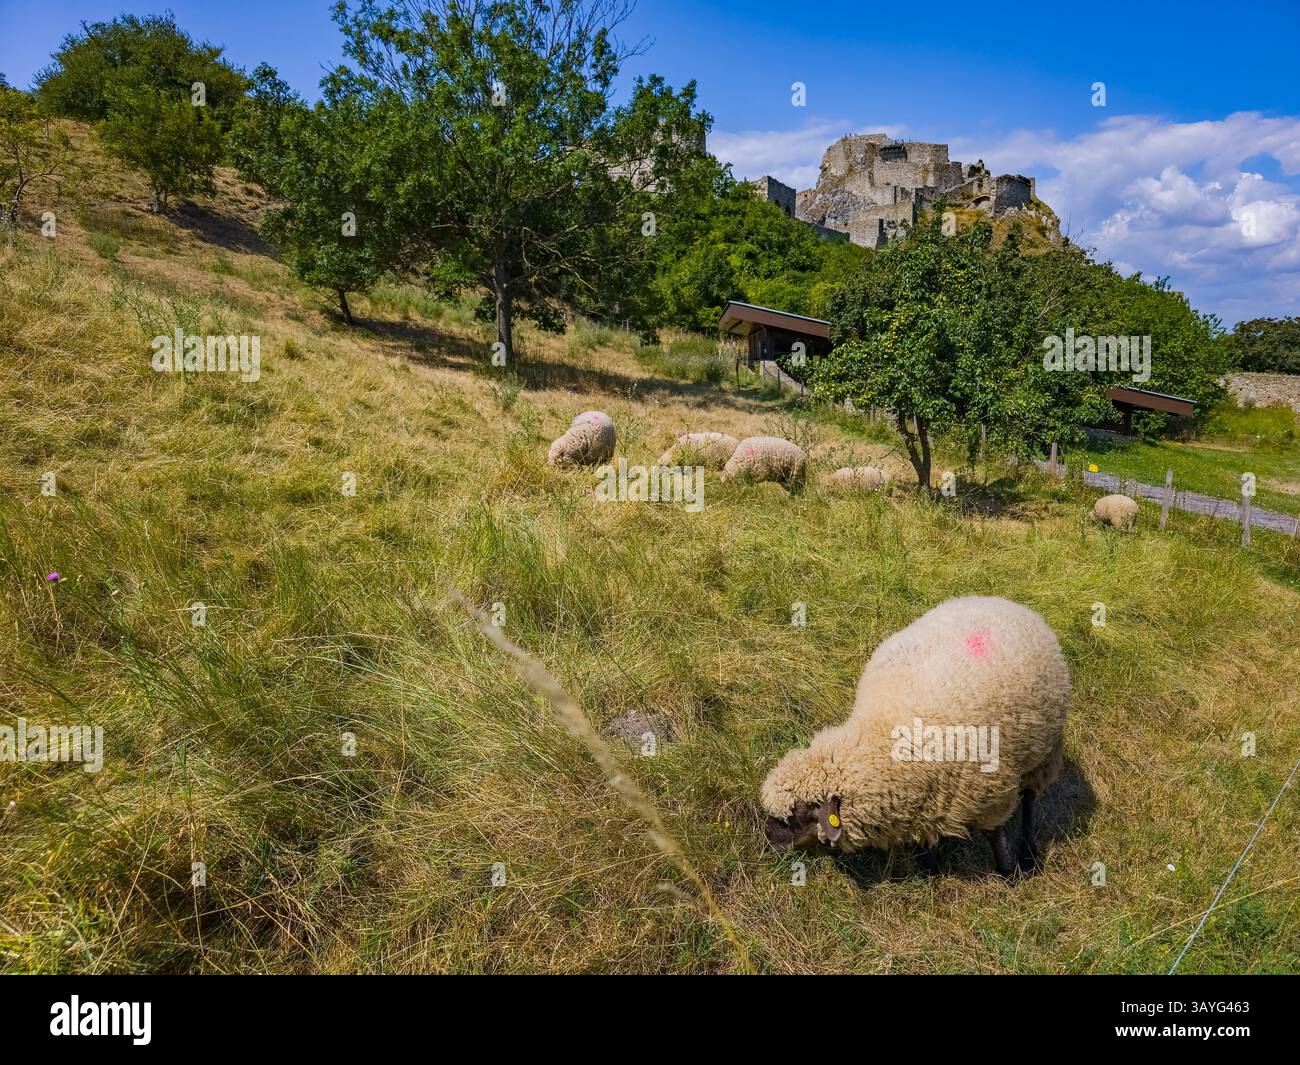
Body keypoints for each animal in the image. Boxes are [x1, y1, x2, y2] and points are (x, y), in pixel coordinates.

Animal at [761, 596, 1070, 879]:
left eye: (800, 815)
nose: (769, 841)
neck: (882, 732)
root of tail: (1002, 601)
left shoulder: (992, 794)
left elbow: (995, 834)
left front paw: (1008, 872)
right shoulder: (932, 797)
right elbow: (928, 836)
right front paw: (930, 869)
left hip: (1045, 752)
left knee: (1029, 799)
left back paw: (1027, 853)